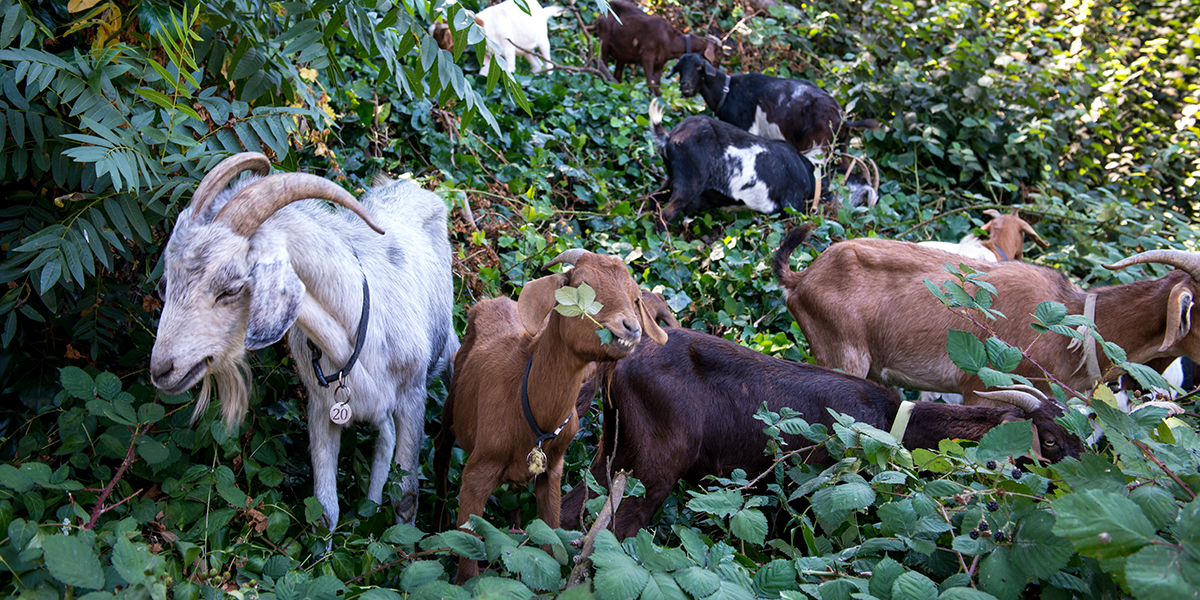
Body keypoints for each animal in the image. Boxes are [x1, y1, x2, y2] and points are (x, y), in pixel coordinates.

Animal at [149, 152, 458, 530]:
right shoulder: (323, 407)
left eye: (231, 289)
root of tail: (410, 184)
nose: (162, 369)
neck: (360, 321)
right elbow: (324, 508)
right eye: (168, 280)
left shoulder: (412, 398)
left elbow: (405, 497)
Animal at [433, 249, 668, 583]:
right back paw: (437, 524)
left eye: (635, 297)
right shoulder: (476, 475)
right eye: (581, 286)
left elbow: (550, 539)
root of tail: (490, 300)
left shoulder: (552, 471)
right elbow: (467, 563)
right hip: (452, 401)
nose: (630, 328)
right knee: (441, 448)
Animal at [560, 328, 1081, 539]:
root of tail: (617, 362)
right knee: (616, 528)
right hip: (652, 466)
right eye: (1051, 441)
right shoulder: (810, 491)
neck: (889, 422)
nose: (1074, 492)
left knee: (570, 511)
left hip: (613, 450)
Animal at [648, 99, 876, 229]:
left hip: (672, 180)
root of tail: (669, 138)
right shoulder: (791, 207)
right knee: (665, 215)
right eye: (861, 196)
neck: (812, 177)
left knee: (652, 199)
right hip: (688, 184)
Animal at [671, 52, 880, 166]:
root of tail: (842, 118)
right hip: (840, 147)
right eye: (680, 67)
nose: (685, 86)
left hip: (817, 147)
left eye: (699, 67)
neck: (727, 91)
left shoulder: (747, 129)